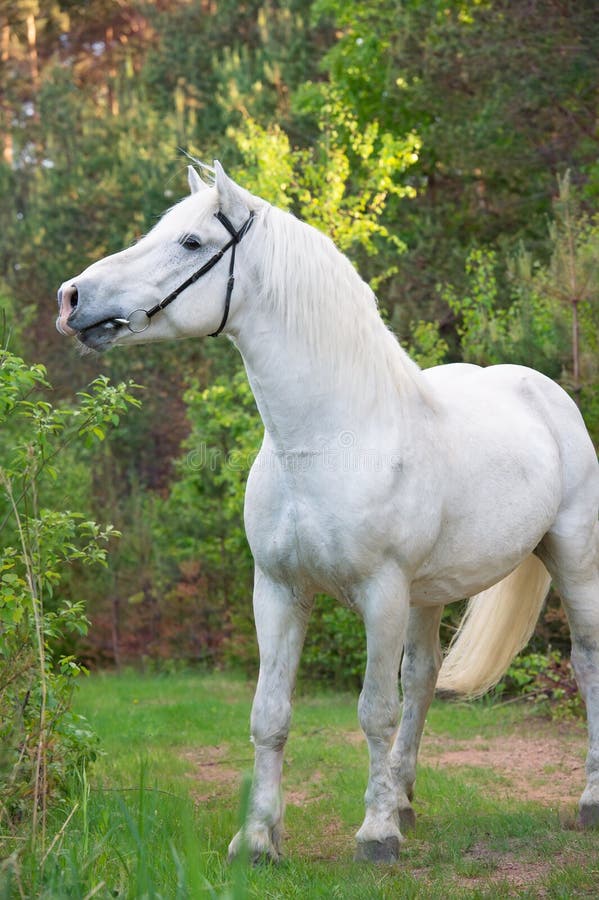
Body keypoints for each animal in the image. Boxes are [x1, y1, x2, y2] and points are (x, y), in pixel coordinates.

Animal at [56, 162, 599, 864]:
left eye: (191, 242)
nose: (71, 298)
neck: (328, 439)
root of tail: (542, 388)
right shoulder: (278, 591)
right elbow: (270, 715)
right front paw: (257, 839)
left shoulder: (381, 593)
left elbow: (373, 710)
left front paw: (375, 836)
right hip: (428, 594)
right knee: (423, 679)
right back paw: (403, 797)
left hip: (571, 558)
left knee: (585, 663)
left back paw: (586, 801)